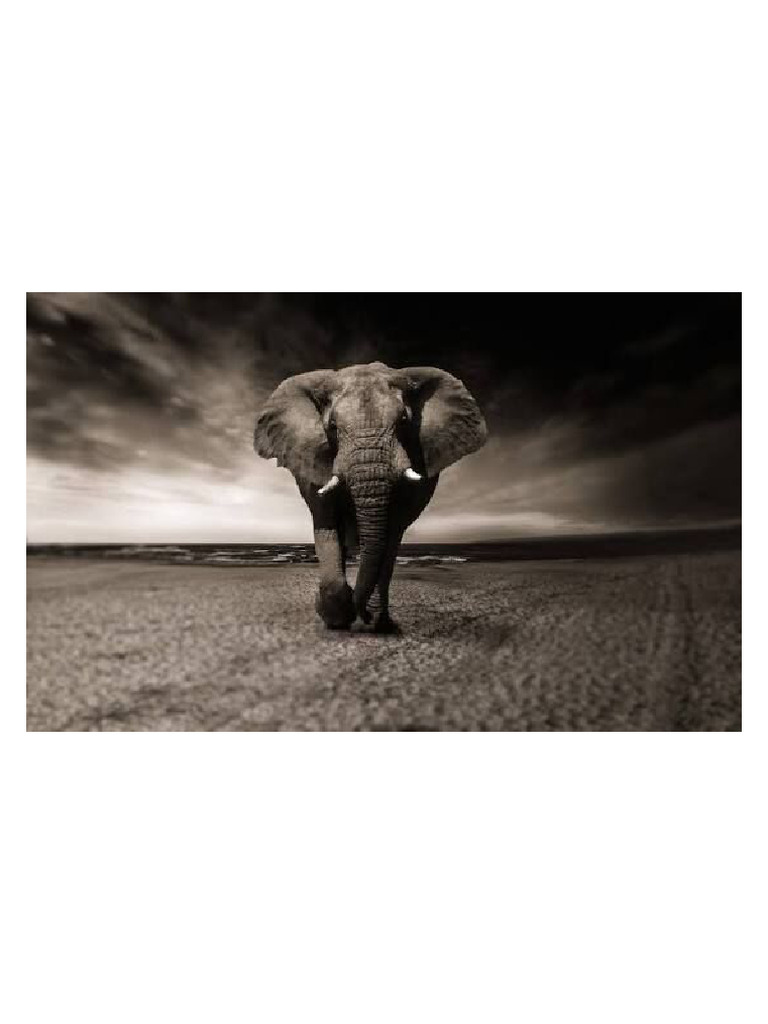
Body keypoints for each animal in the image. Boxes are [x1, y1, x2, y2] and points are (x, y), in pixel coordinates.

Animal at [253, 361, 487, 632]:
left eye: (404, 421)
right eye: (332, 427)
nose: (361, 614)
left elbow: (391, 531)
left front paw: (367, 619)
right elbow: (326, 522)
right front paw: (336, 618)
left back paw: (378, 622)